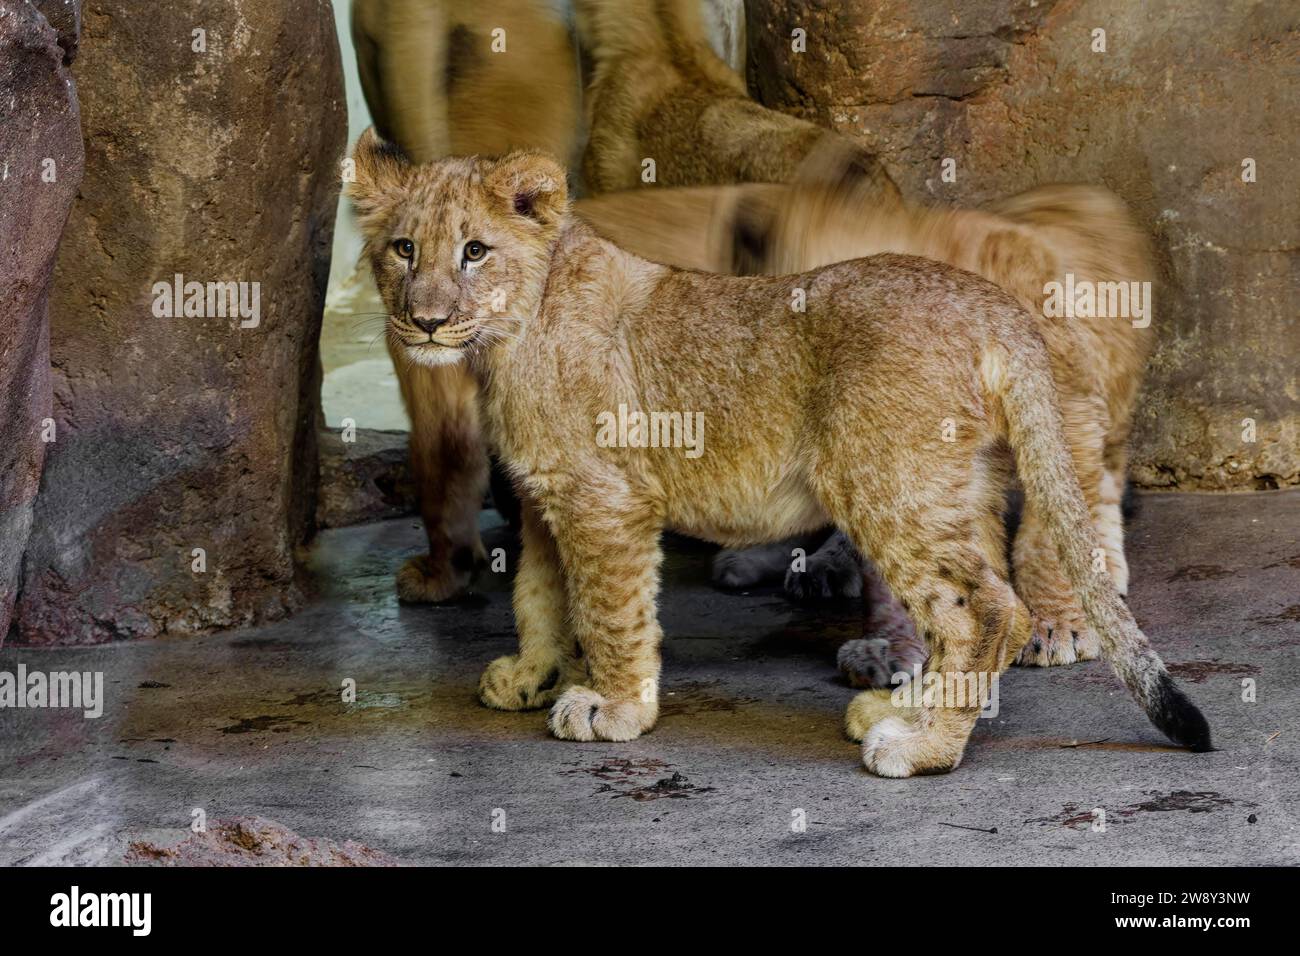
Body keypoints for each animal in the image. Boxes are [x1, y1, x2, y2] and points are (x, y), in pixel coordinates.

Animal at [346, 132, 1209, 777]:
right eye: (403, 248)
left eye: (475, 251)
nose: (425, 322)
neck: (504, 339)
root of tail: (993, 305)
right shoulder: (542, 499)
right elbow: (538, 600)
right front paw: (531, 677)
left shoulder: (605, 500)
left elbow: (608, 612)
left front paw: (615, 707)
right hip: (958, 485)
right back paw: (902, 708)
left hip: (887, 484)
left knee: (989, 610)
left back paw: (919, 747)